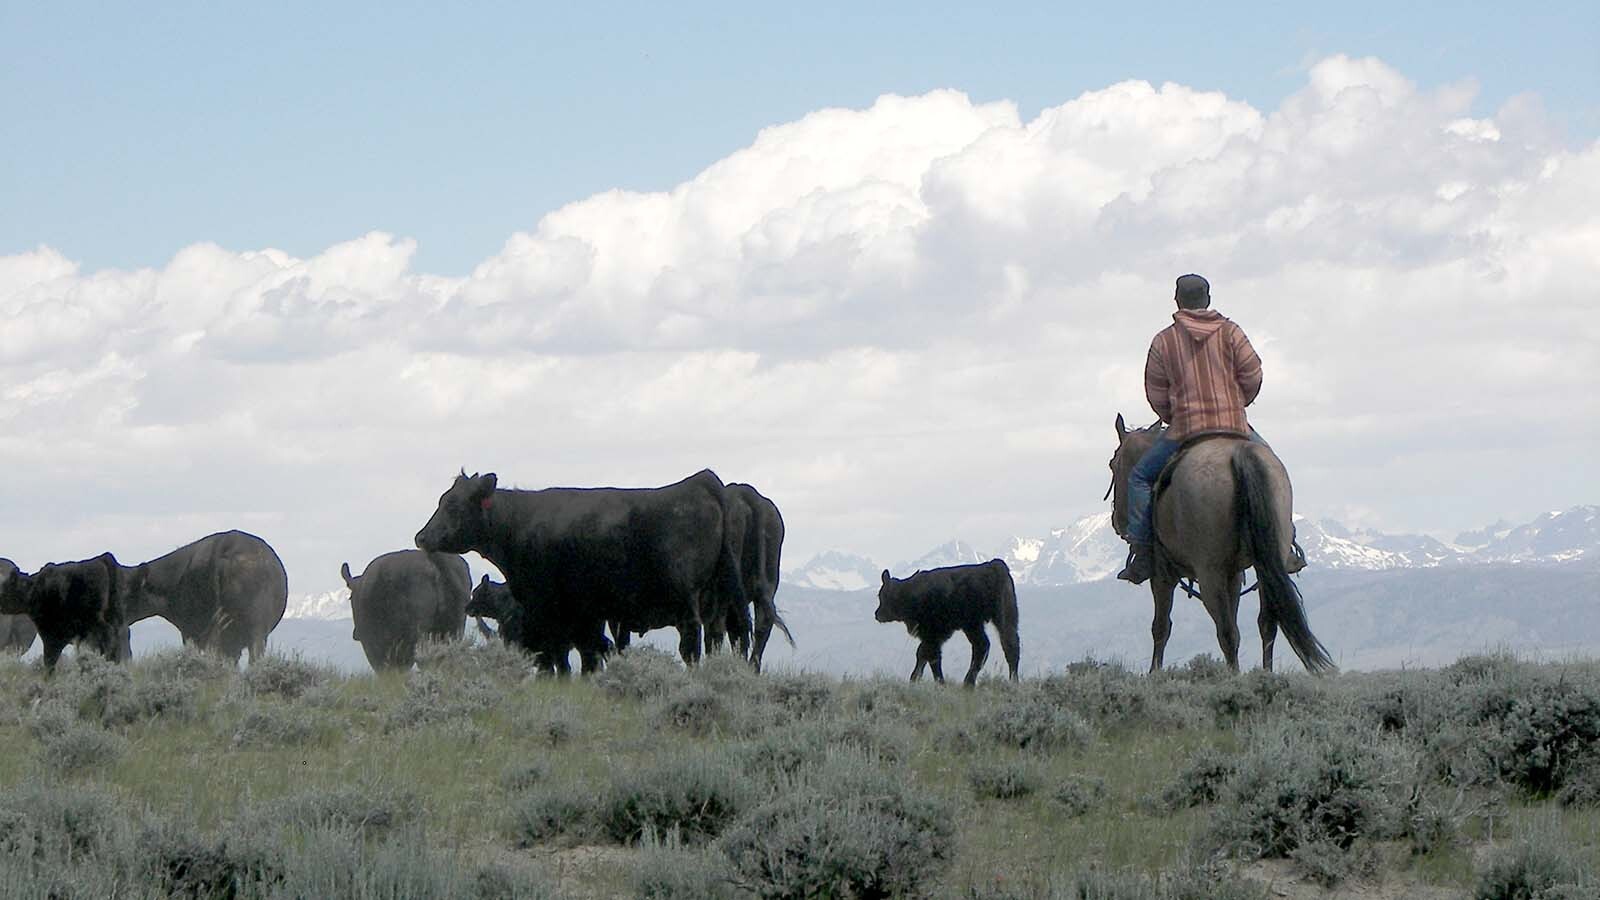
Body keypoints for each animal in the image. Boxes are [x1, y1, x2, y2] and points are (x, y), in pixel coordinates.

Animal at [0, 553, 144, 671]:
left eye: (6, 586)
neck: (34, 589)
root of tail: (103, 558)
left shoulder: (51, 634)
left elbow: (49, 659)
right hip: (116, 616)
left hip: (96, 620)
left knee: (108, 635)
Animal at [414, 468, 744, 672]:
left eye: (454, 507)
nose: (421, 537)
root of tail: (699, 481)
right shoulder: (588, 613)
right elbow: (588, 654)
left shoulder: (552, 608)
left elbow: (559, 655)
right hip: (717, 603)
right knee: (716, 640)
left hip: (687, 602)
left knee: (691, 646)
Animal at [875, 559, 1021, 686]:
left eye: (882, 596)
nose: (877, 614)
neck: (908, 593)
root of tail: (993, 566)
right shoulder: (936, 635)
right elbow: (925, 654)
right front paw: (918, 679)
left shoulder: (932, 633)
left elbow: (929, 655)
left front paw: (934, 681)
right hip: (995, 620)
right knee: (1004, 645)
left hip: (977, 623)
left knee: (990, 645)